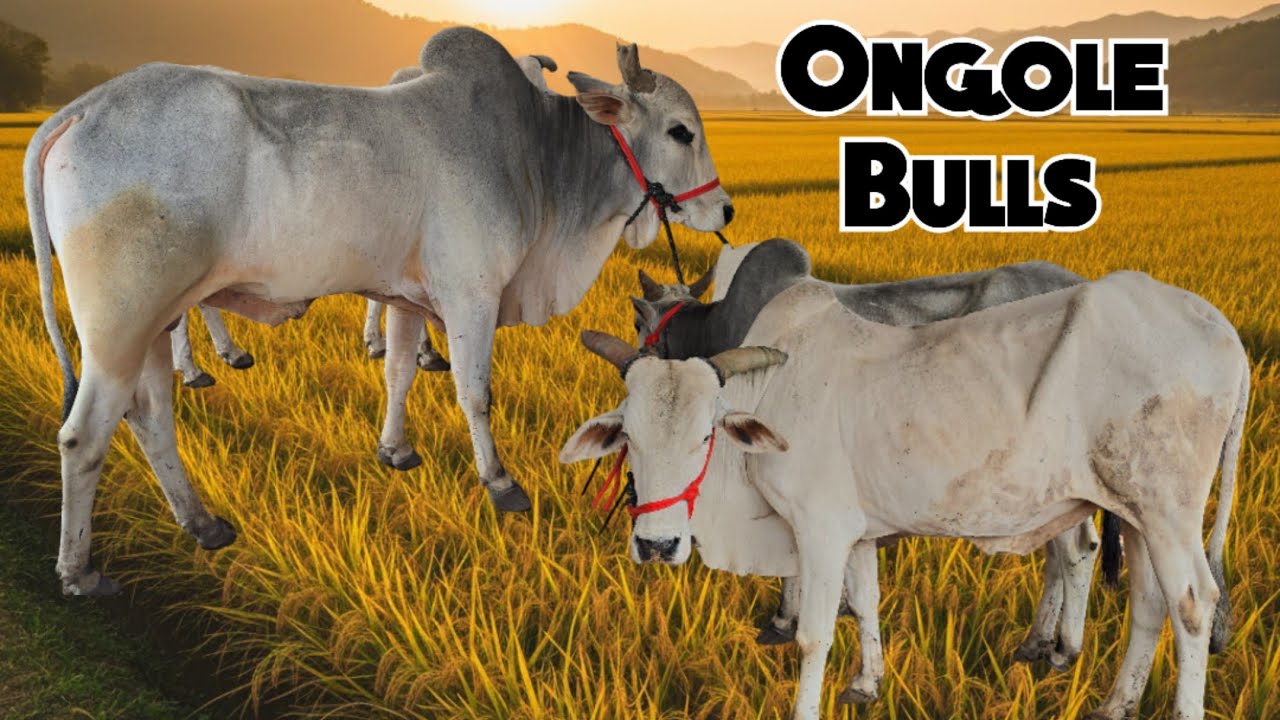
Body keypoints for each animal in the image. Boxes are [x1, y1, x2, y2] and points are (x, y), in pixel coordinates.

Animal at [25, 27, 732, 595]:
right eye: (679, 130)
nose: (724, 209)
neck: (535, 152)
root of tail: (81, 110)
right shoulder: (471, 297)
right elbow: (476, 394)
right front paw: (500, 483)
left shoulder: (406, 299)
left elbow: (399, 373)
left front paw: (394, 449)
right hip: (119, 328)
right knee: (83, 437)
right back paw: (79, 571)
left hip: (156, 322)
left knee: (150, 418)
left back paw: (201, 523)